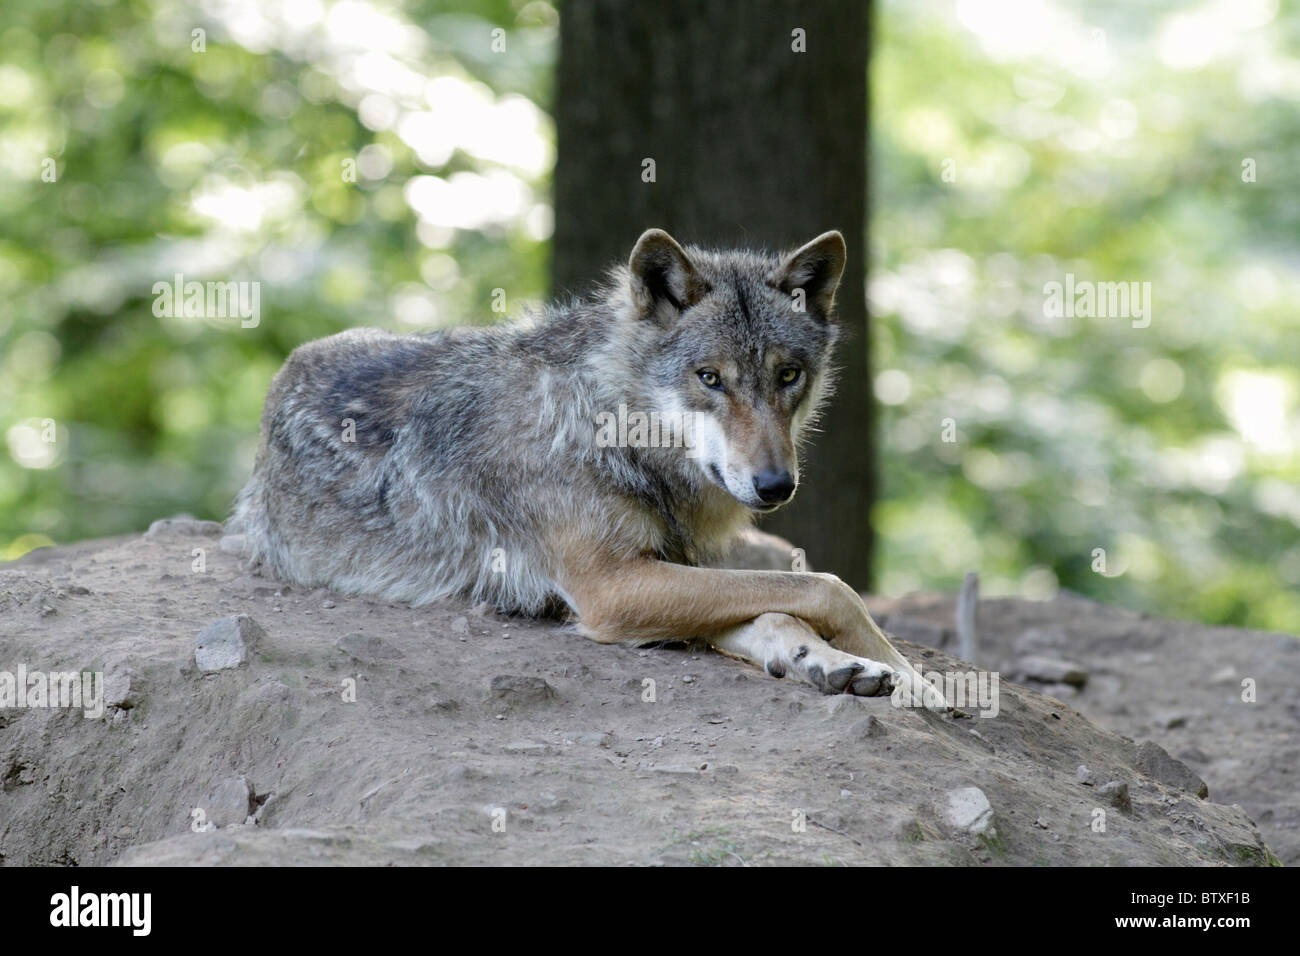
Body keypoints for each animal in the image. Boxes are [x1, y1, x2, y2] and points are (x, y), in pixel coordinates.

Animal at [231, 229, 946, 708]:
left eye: (788, 376)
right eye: (709, 378)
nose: (776, 486)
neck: (606, 423)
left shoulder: (657, 572)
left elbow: (778, 609)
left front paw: (829, 662)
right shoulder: (611, 586)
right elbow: (826, 585)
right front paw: (912, 674)